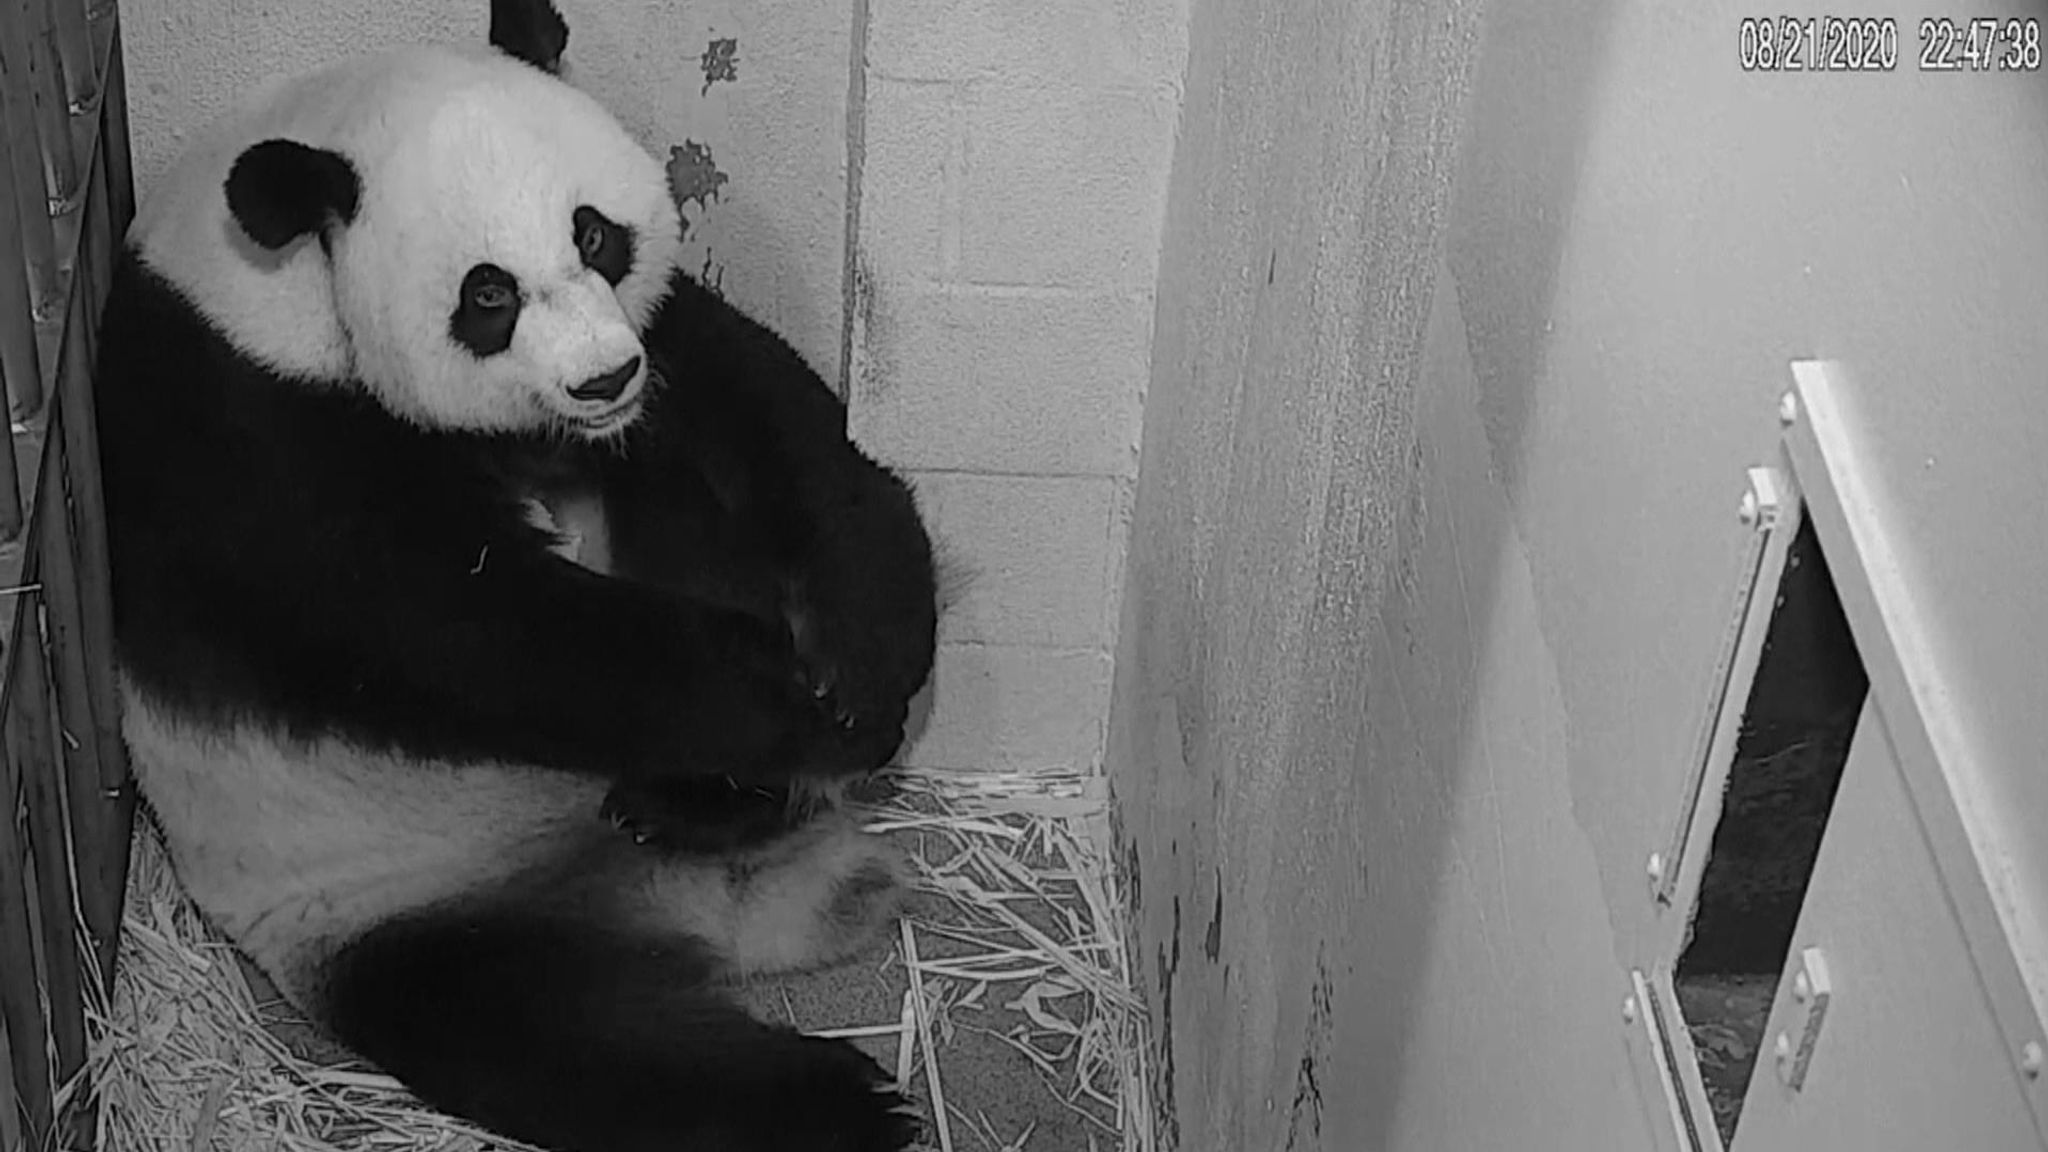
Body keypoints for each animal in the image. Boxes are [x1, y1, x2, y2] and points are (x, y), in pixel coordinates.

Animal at [91, 1, 938, 1149]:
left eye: (594, 234)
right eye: (485, 293)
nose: (601, 380)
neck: (281, 289)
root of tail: (705, 912)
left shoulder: (655, 343)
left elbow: (765, 419)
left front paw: (858, 669)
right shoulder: (237, 433)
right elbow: (459, 630)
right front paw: (783, 697)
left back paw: (692, 807)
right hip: (382, 907)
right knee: (556, 1036)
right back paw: (840, 1100)